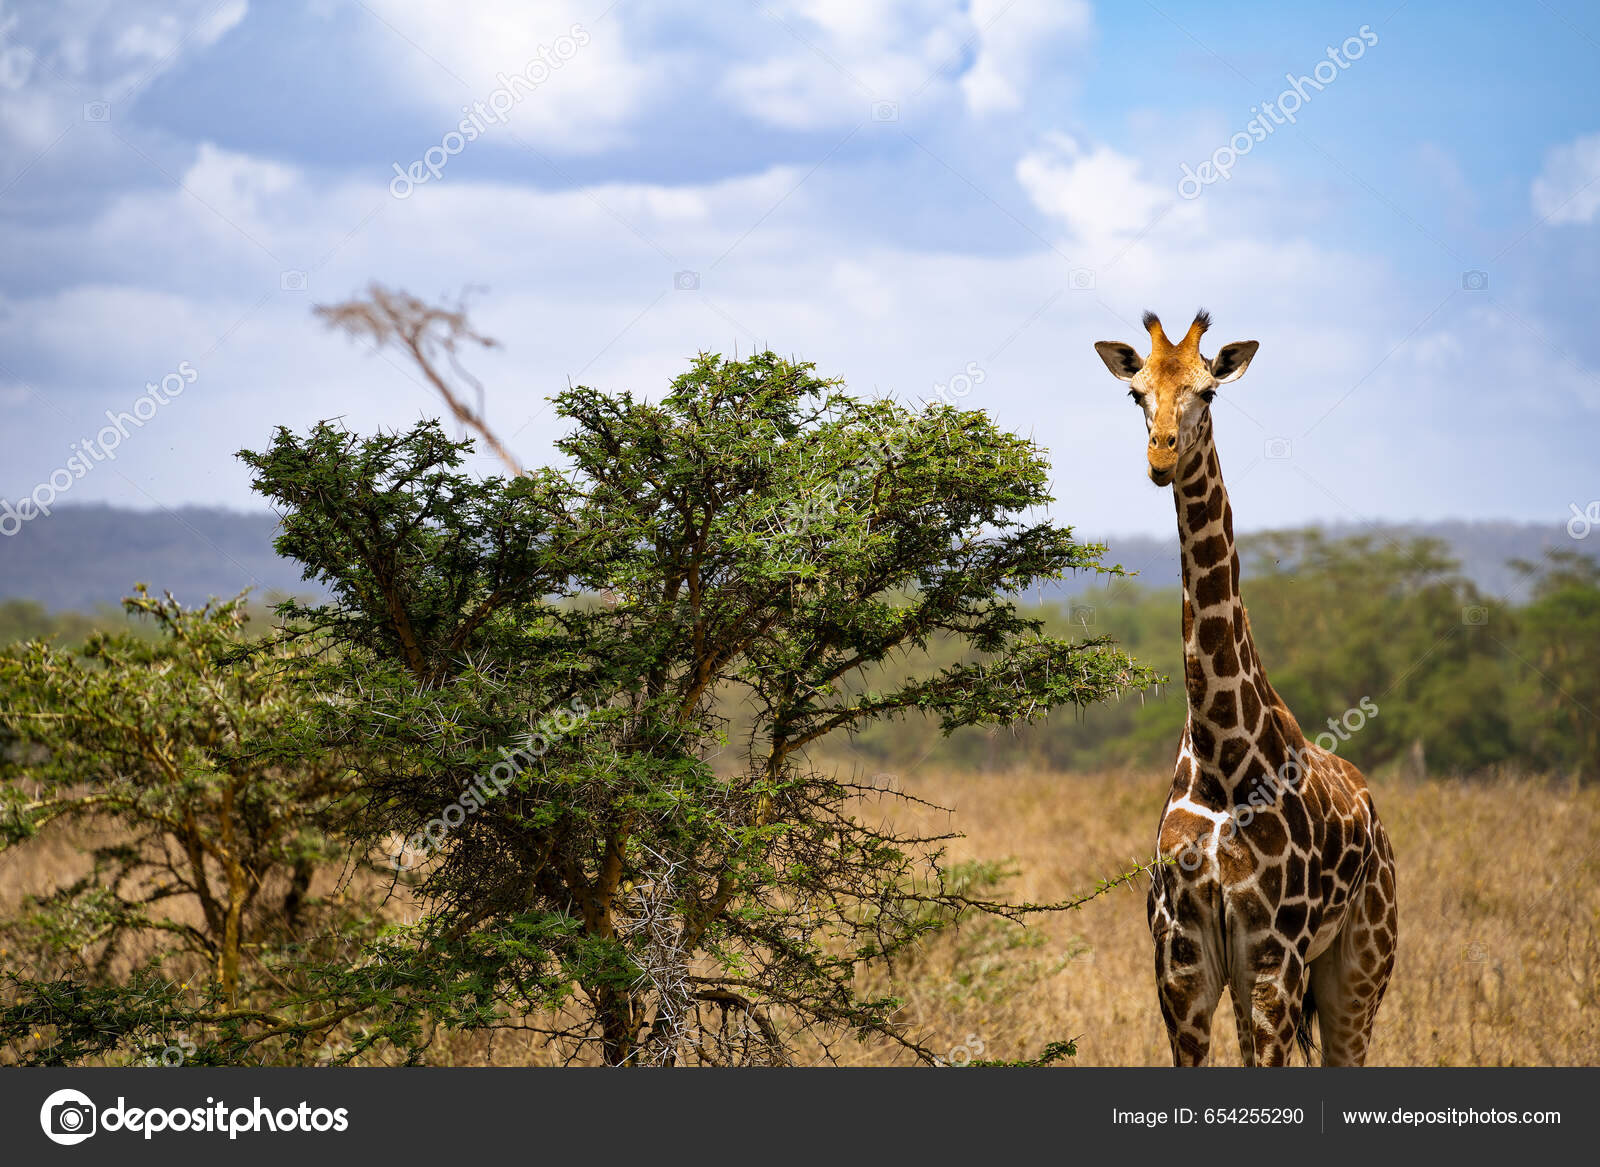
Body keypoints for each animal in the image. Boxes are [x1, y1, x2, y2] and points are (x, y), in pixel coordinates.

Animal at [1093, 310, 1398, 1066]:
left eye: (1209, 392)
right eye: (1136, 393)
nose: (1161, 458)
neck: (1221, 756)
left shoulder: (1273, 955)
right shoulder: (1184, 960)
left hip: (1359, 966)